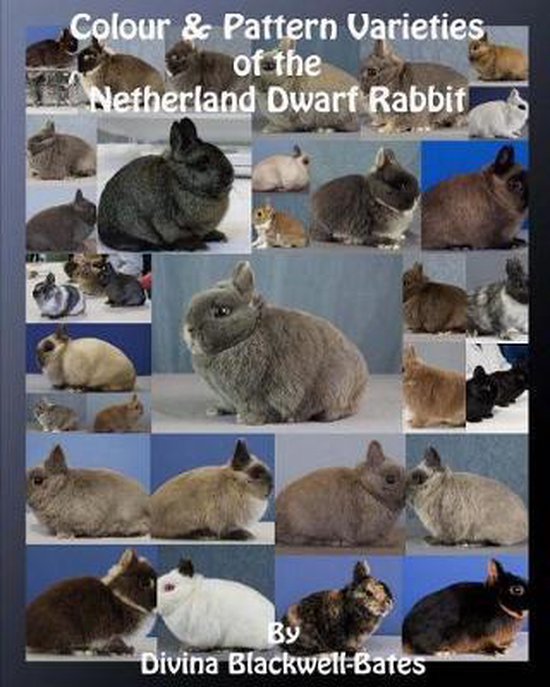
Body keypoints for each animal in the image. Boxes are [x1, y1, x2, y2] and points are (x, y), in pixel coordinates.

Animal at [98, 118, 234, 252]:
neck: (181, 182)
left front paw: (219, 236)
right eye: (201, 162)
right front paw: (198, 246)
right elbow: (181, 236)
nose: (230, 174)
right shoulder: (169, 225)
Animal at [183, 261, 368, 425]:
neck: (249, 332)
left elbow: (264, 408)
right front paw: (215, 409)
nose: (189, 329)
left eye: (222, 311)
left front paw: (247, 420)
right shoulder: (227, 396)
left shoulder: (264, 392)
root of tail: (362, 383)